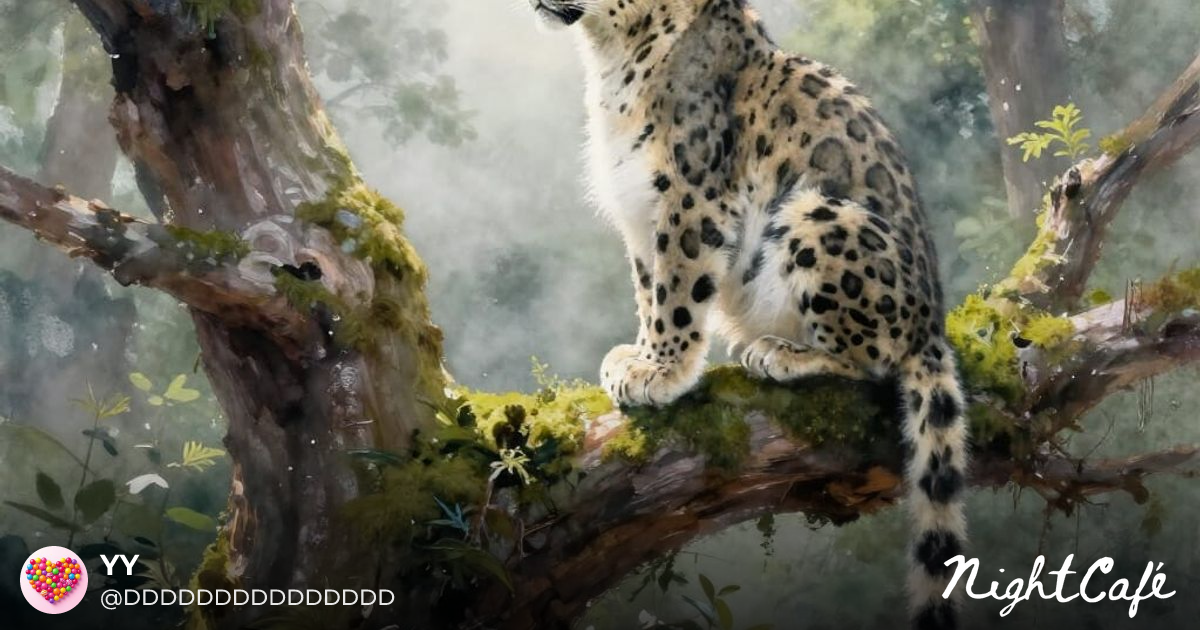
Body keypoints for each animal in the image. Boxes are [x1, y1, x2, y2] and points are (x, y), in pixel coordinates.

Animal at [527, 1, 968, 627]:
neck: (610, 62)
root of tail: (933, 323)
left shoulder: (690, 199)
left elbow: (677, 291)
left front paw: (661, 372)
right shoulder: (638, 212)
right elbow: (647, 287)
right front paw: (636, 357)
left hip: (817, 214)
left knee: (877, 360)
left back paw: (779, 352)